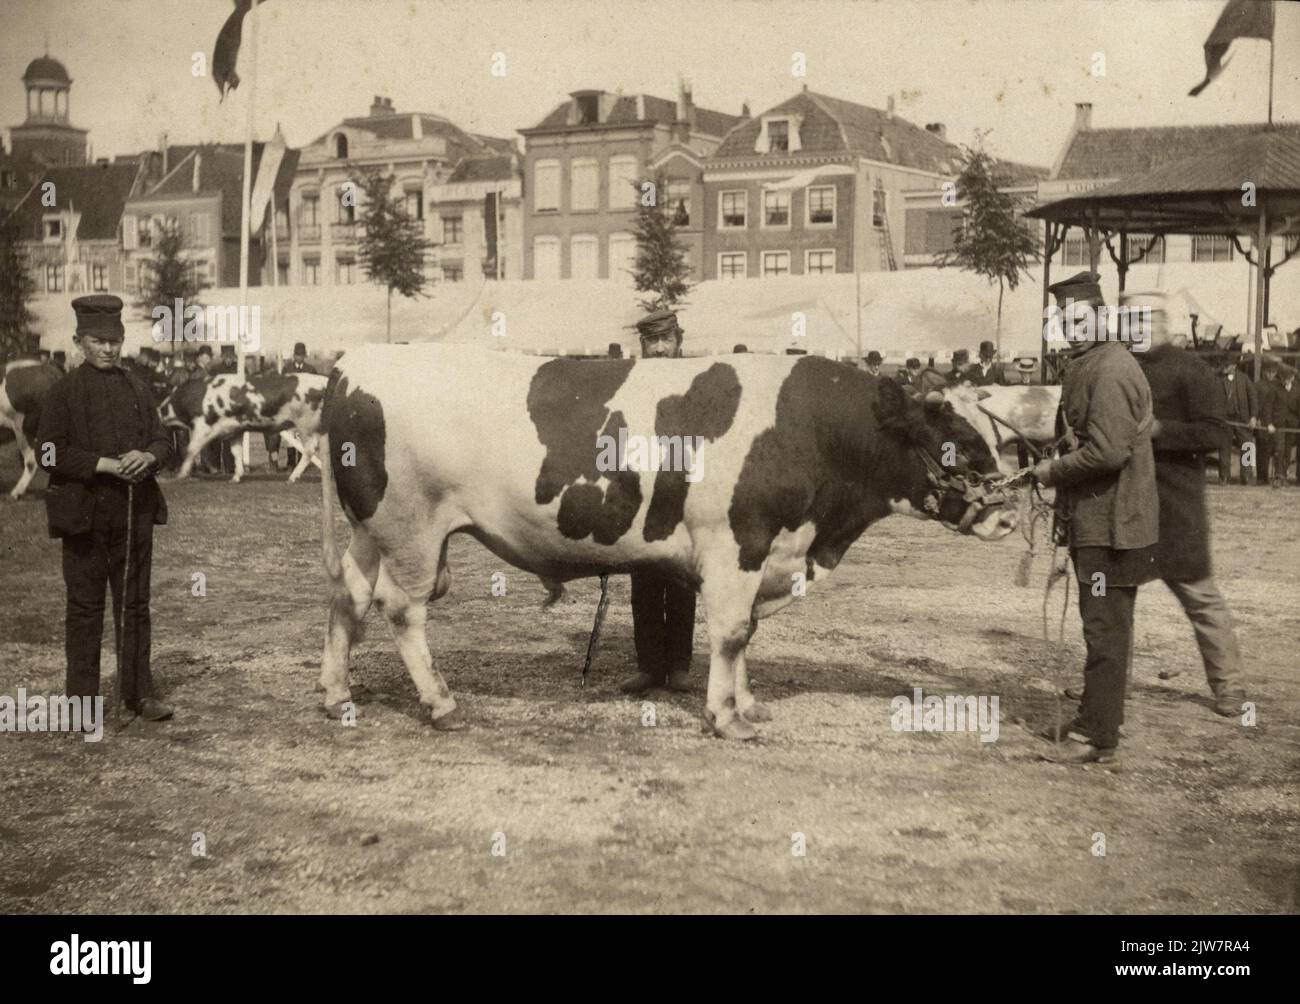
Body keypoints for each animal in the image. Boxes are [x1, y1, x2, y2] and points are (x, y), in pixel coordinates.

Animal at [160, 371, 328, 482]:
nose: (159, 410)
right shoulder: (235, 430)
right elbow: (236, 452)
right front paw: (236, 477)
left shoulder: (203, 426)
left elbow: (191, 449)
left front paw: (181, 475)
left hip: (305, 425)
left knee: (309, 450)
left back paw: (293, 477)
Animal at [317, 346, 1022, 740]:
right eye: (957, 441)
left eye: (999, 436)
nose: (1008, 513)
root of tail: (355, 363)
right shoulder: (738, 543)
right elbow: (733, 633)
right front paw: (726, 718)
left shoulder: (764, 554)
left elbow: (746, 636)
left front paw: (747, 704)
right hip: (410, 529)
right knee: (401, 609)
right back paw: (441, 705)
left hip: (369, 531)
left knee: (348, 596)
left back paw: (336, 694)